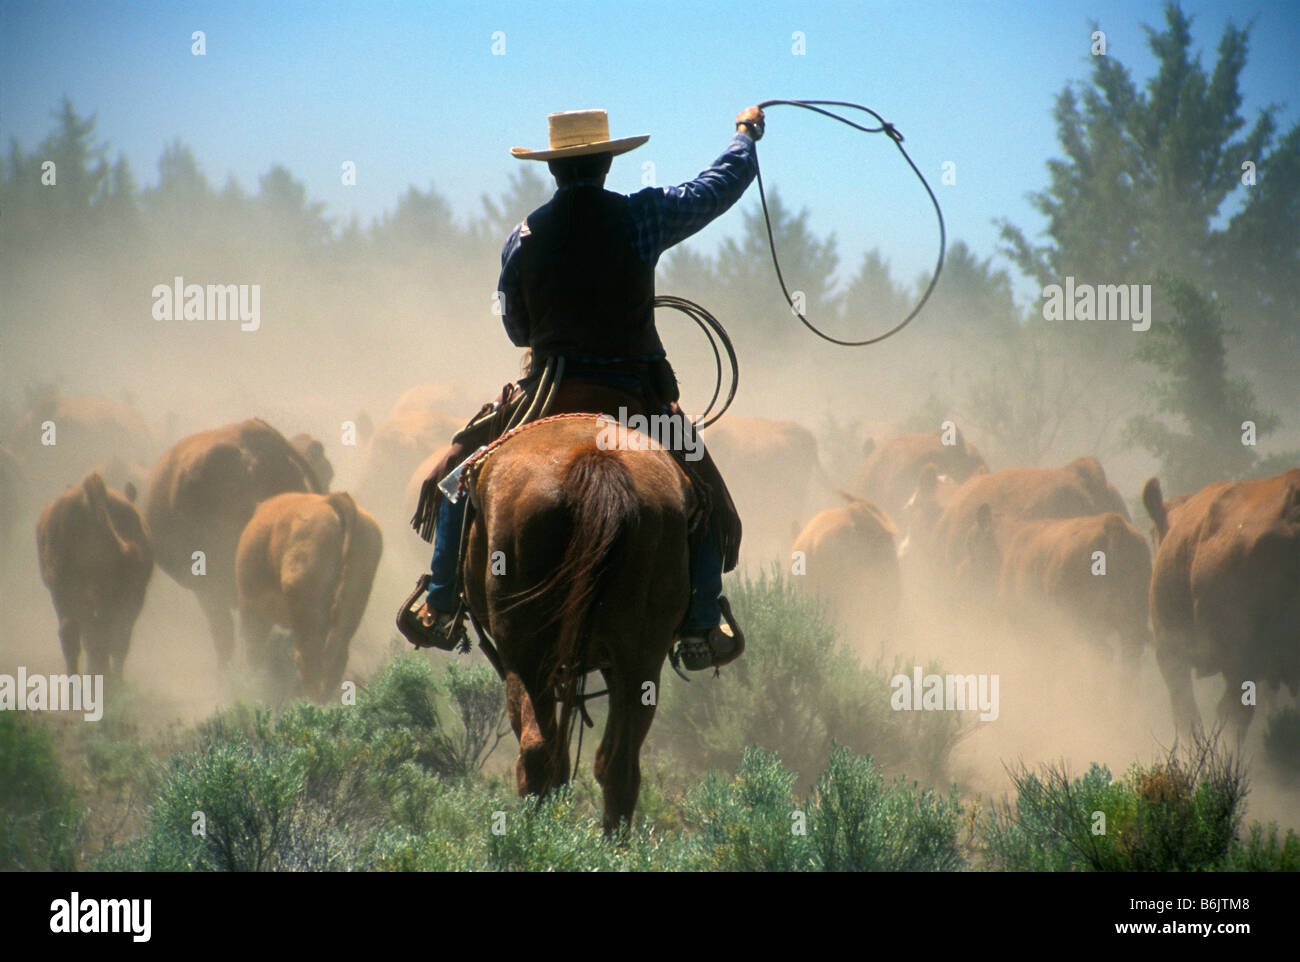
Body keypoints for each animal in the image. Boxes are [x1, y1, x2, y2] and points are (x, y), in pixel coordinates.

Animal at [235, 491, 383, 701]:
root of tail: (331, 501)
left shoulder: (250, 609)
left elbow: (252, 653)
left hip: (305, 613)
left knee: (309, 659)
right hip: (353, 603)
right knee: (335, 656)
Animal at [960, 502, 1151, 671]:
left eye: (970, 543)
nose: (960, 572)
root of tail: (1112, 524)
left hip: (1082, 621)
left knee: (1101, 654)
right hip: (1130, 625)